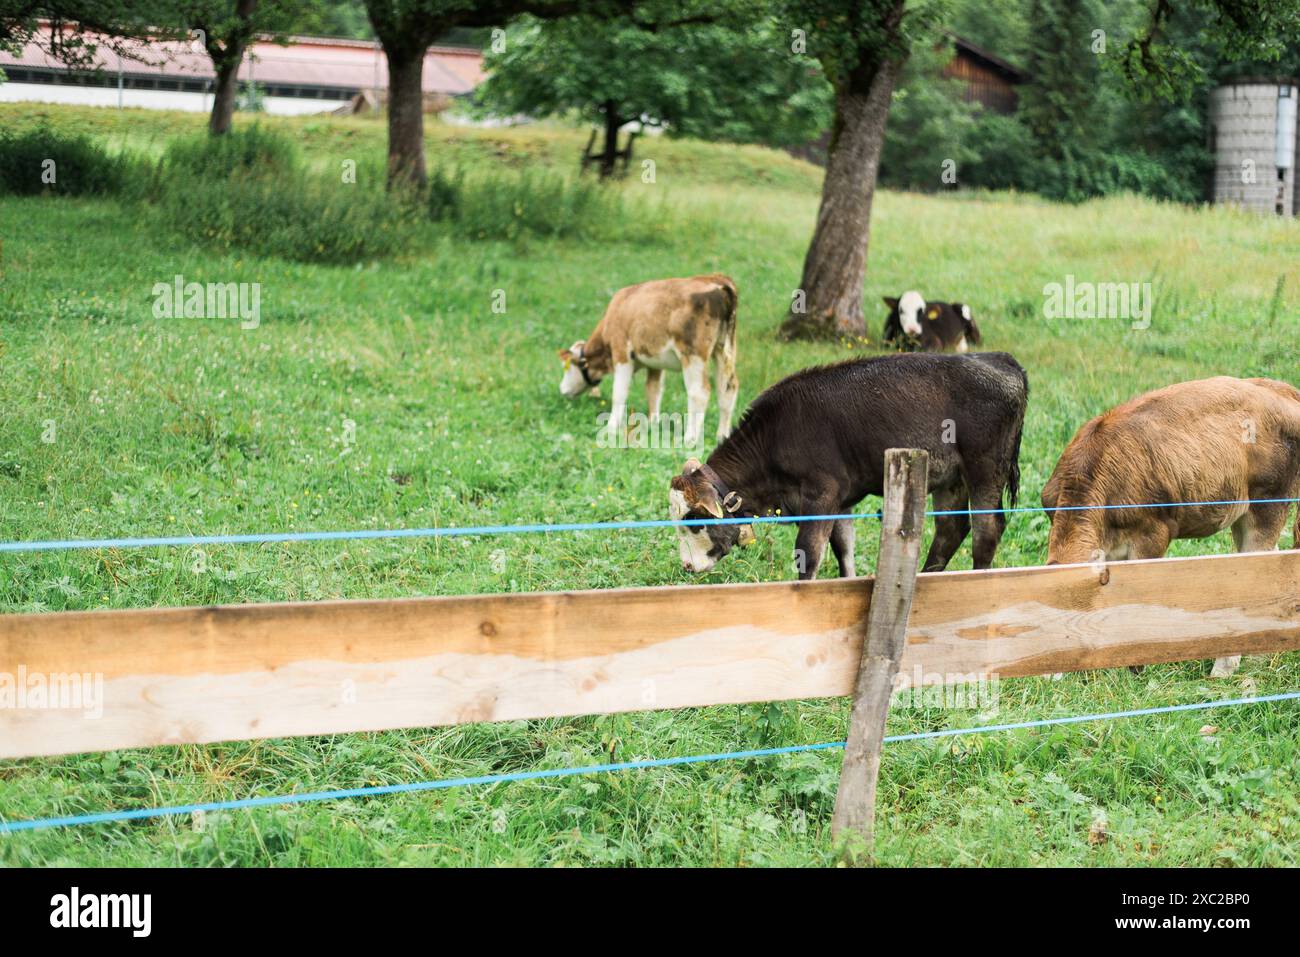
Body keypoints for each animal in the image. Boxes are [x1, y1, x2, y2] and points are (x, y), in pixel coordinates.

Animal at [558, 274, 739, 449]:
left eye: (567, 368)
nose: (562, 389)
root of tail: (718, 280)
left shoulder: (621, 351)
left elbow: (619, 393)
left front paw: (611, 427)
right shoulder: (655, 361)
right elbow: (653, 389)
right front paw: (653, 423)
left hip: (693, 354)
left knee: (699, 392)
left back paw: (690, 439)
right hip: (723, 350)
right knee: (727, 388)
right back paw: (722, 436)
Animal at [668, 352, 1028, 580]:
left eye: (694, 520)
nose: (686, 566)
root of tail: (1000, 358)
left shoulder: (821, 493)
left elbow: (808, 554)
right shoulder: (840, 500)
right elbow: (843, 548)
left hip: (985, 469)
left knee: (986, 530)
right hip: (951, 479)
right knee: (951, 528)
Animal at [1042, 376, 1300, 677]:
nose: (1046, 673)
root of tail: (1280, 389)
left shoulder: (1152, 534)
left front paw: (1135, 667)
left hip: (1269, 502)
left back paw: (1224, 669)